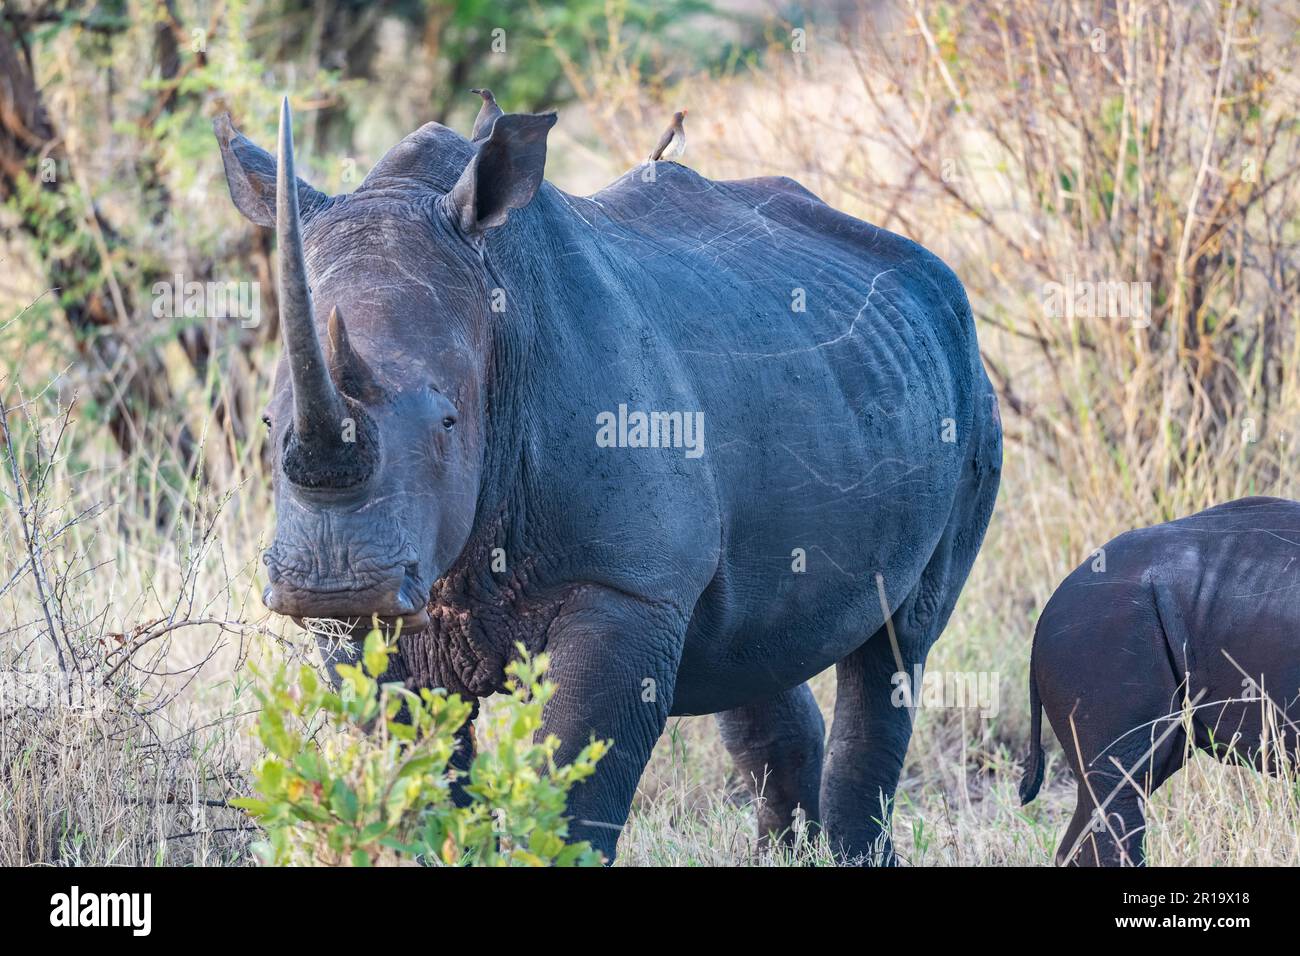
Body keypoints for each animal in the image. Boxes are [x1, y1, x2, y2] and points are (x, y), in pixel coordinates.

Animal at [214, 99, 1002, 863]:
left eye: (447, 422)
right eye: (266, 425)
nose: (334, 585)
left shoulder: (627, 585)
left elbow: (572, 787)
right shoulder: (377, 620)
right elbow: (420, 773)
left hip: (968, 391)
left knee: (898, 645)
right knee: (752, 647)